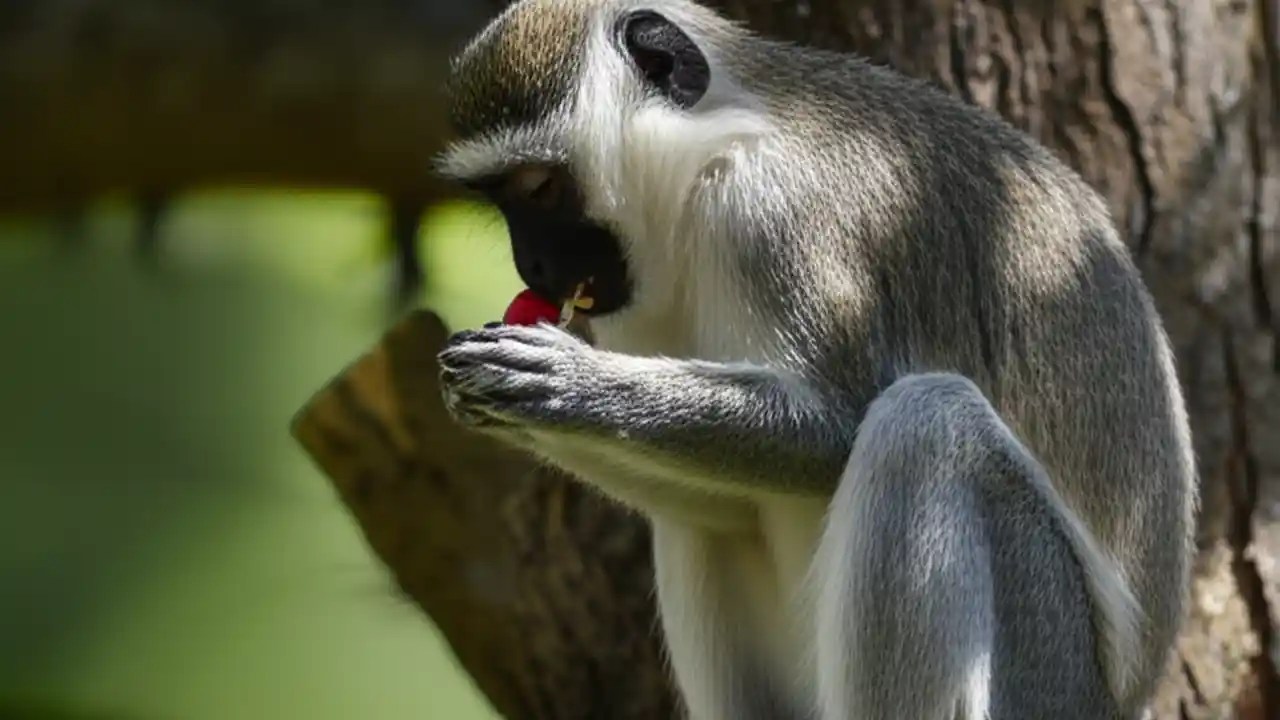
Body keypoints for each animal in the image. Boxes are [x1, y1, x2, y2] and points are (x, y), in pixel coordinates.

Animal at [432, 0, 1198, 717]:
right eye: (501, 199)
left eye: (540, 186)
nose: (531, 266)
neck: (713, 150)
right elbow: (724, 496)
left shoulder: (774, 213)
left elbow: (833, 431)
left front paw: (567, 386)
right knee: (704, 521)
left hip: (1047, 673)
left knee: (926, 426)